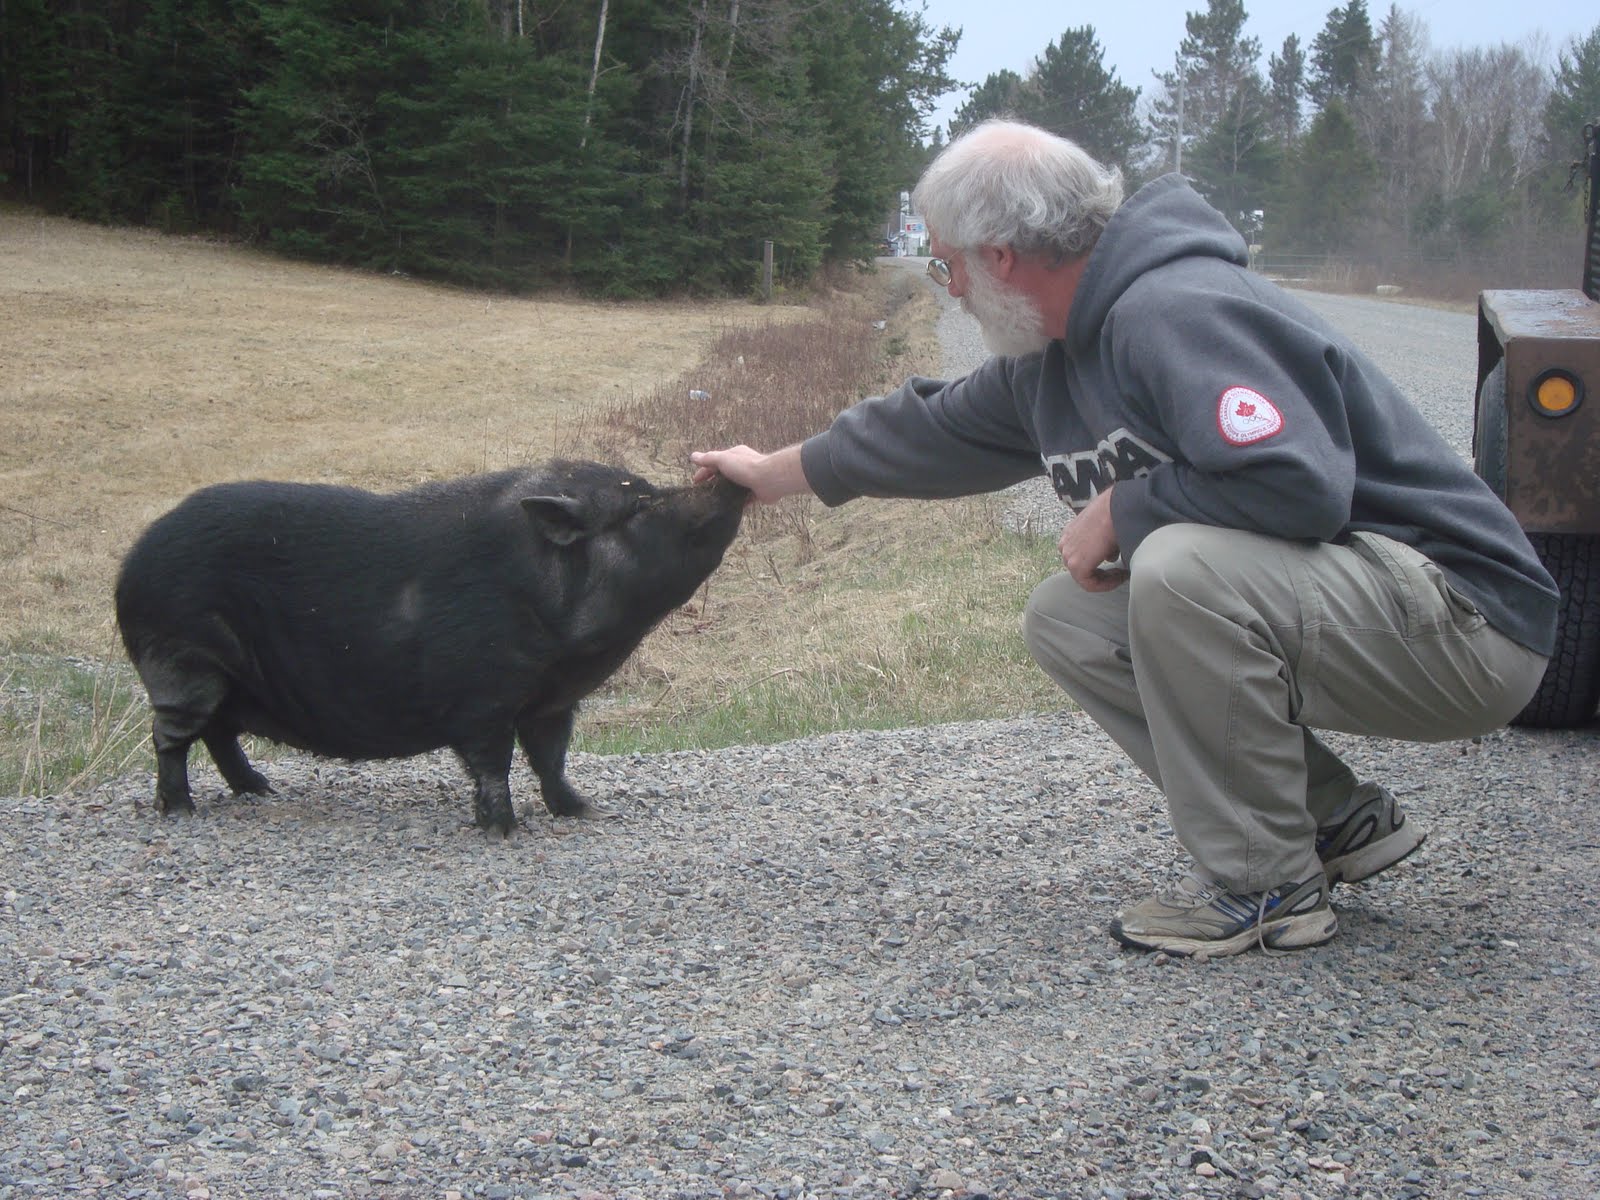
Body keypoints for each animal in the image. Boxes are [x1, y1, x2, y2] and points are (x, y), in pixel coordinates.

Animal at [114, 460, 748, 834]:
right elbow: (493, 763)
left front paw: (588, 810)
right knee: (173, 736)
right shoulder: (481, 695)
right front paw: (504, 831)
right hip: (184, 658)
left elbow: (552, 759)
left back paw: (261, 791)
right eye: (638, 507)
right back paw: (181, 811)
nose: (729, 478)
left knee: (219, 734)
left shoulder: (551, 700)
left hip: (223, 677)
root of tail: (129, 569)